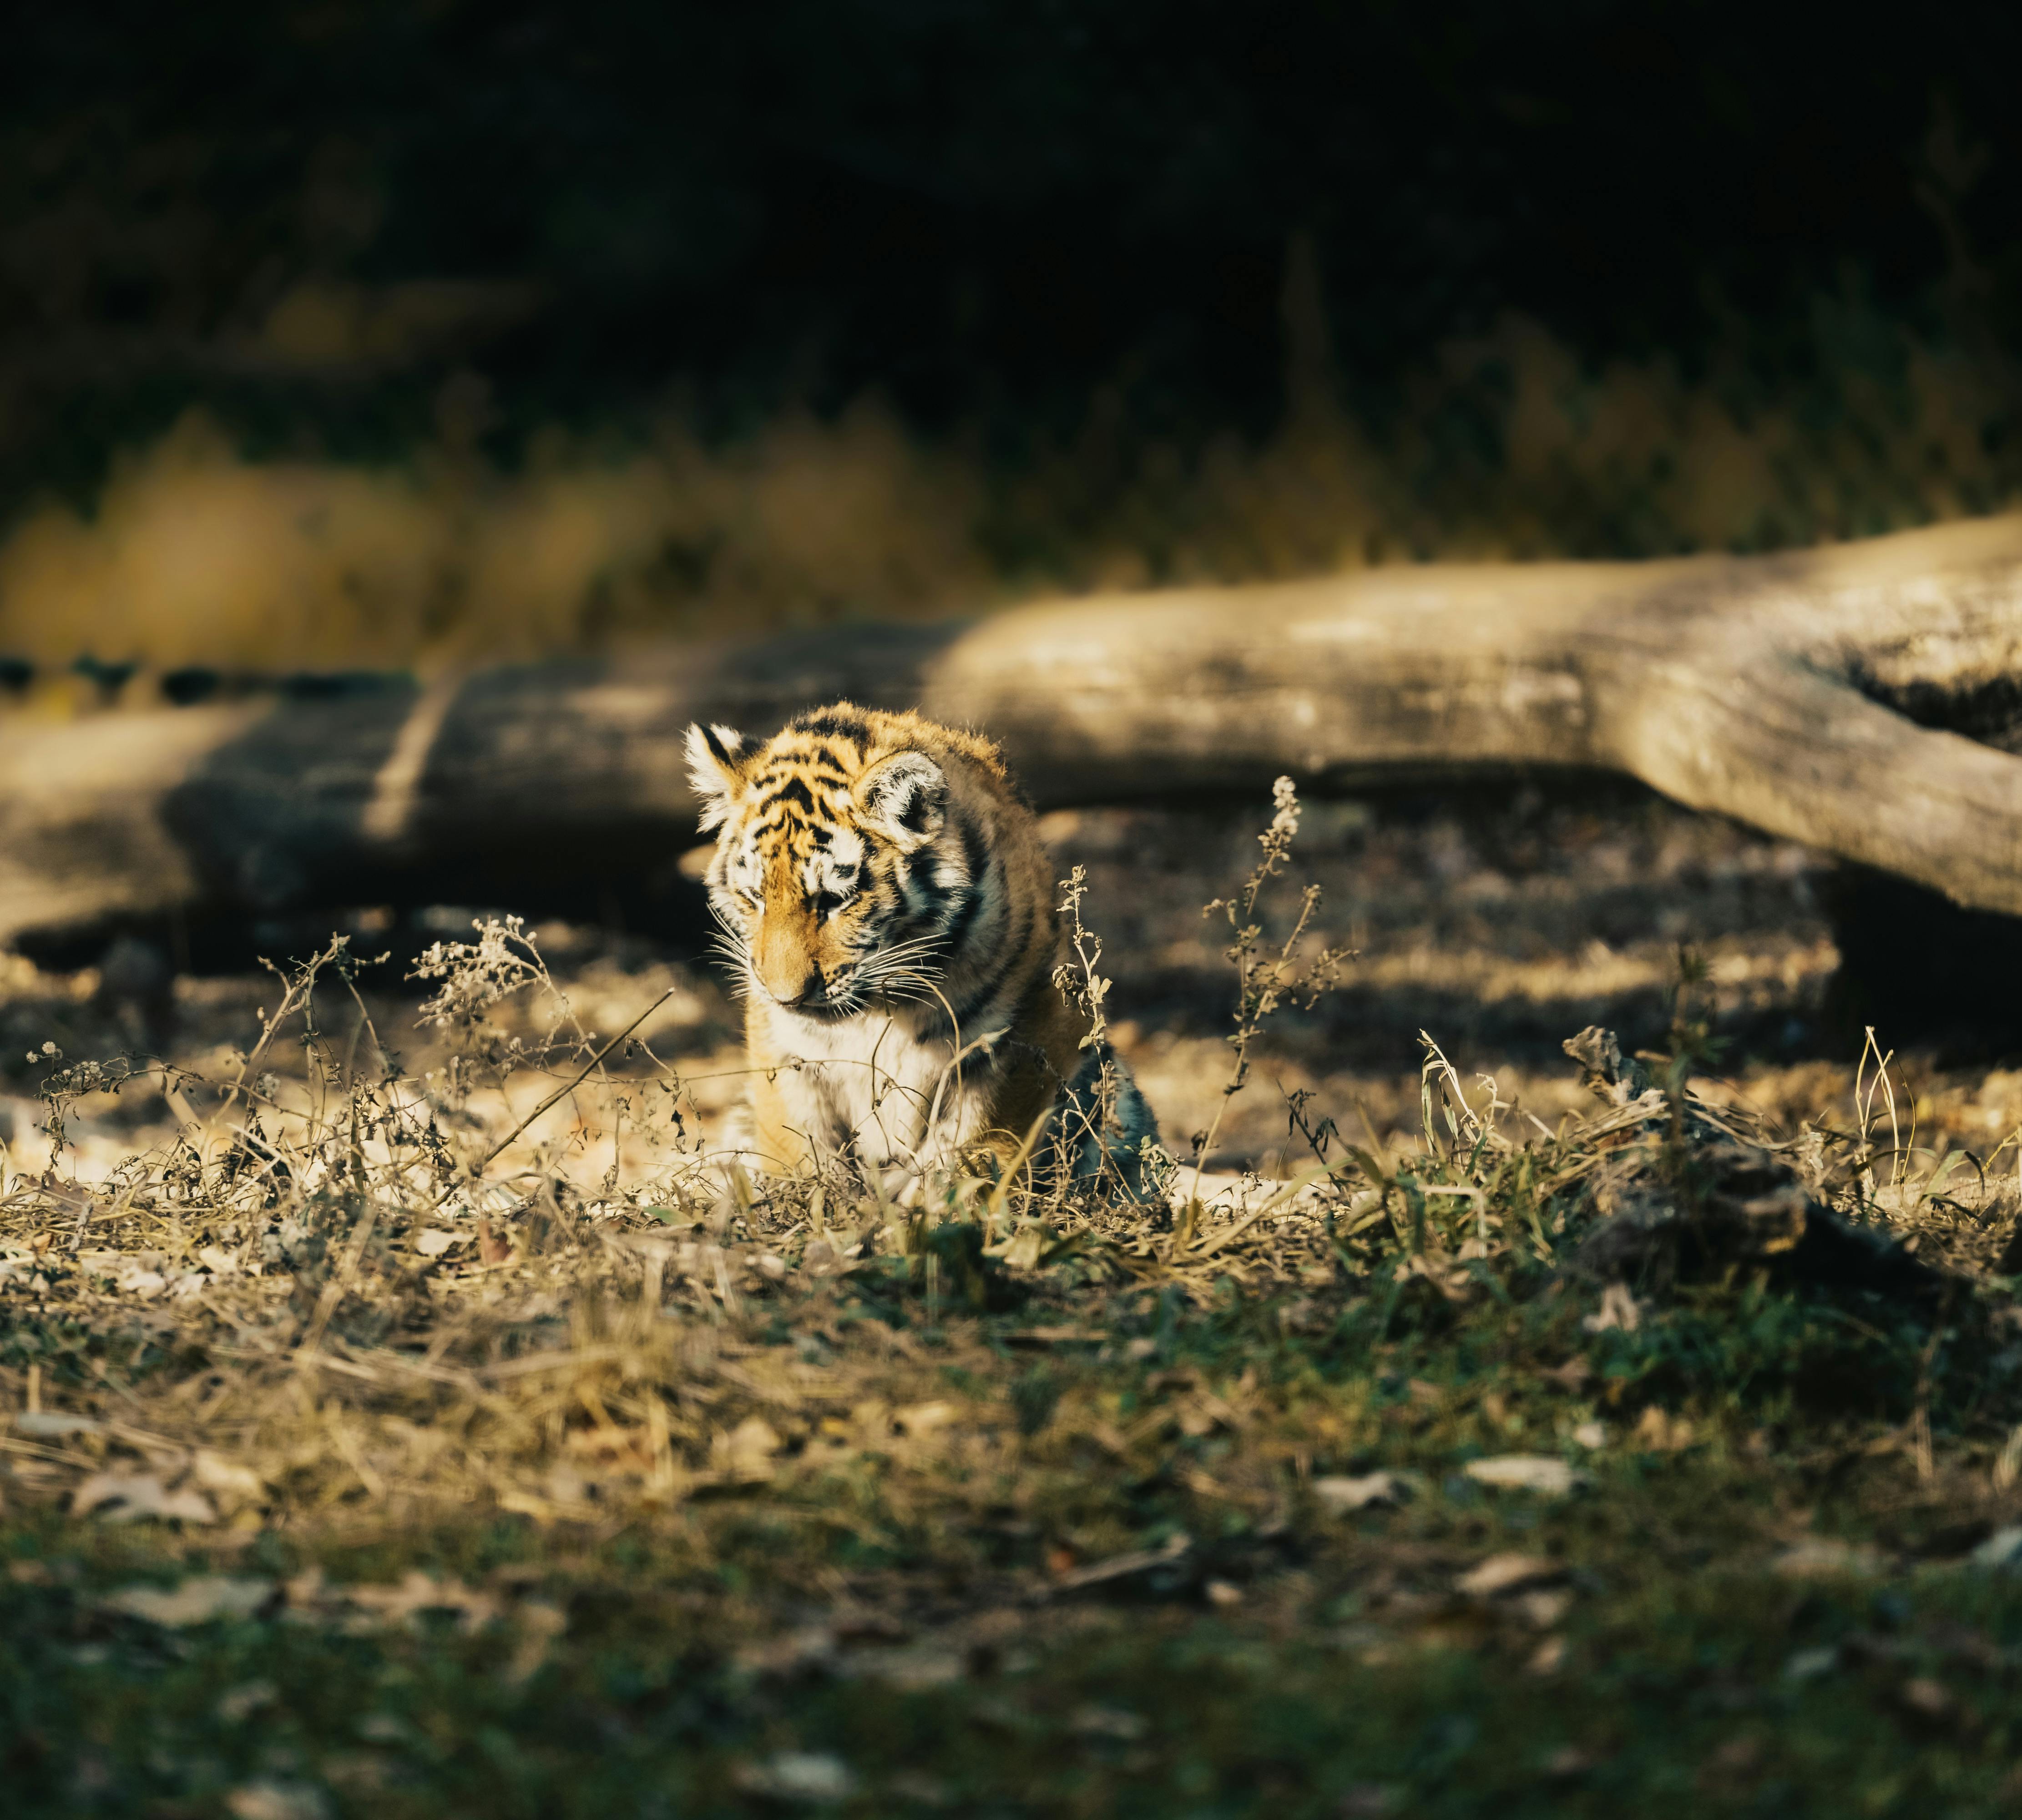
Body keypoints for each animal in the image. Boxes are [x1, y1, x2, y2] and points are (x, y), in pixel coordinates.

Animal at [684, 701, 1161, 1200]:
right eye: (755, 897)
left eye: (834, 900)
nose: (786, 997)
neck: (878, 1010)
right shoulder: (784, 1049)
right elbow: (795, 1144)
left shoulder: (1024, 1033)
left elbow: (980, 1150)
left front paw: (946, 1207)